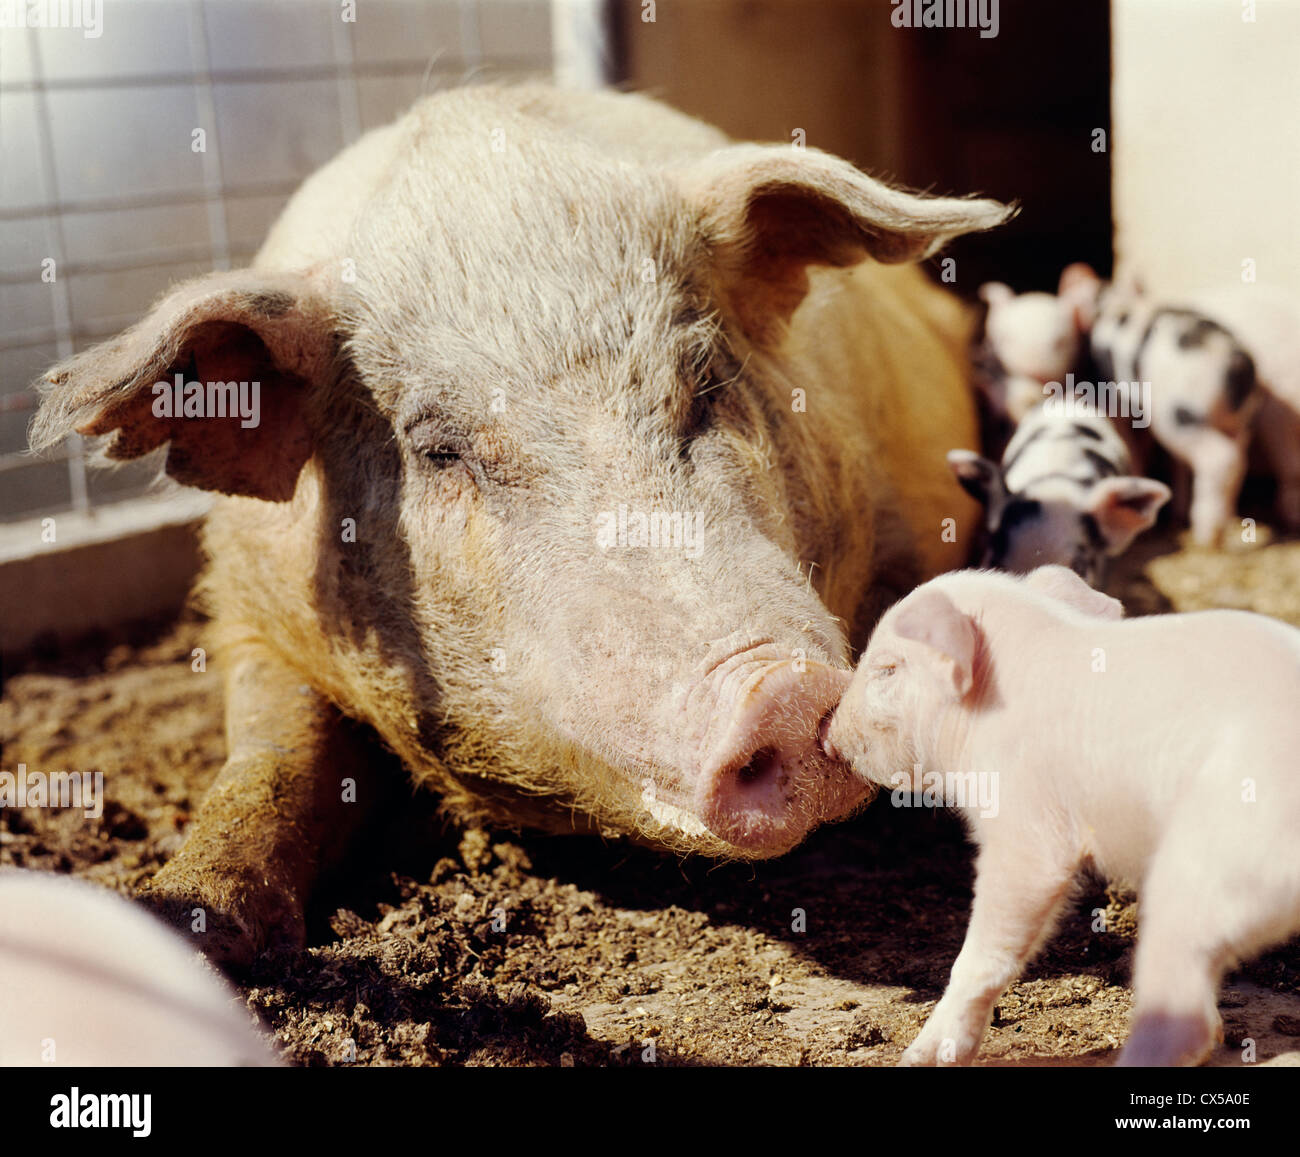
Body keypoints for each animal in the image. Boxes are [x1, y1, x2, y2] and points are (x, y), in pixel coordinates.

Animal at [28, 85, 1013, 965]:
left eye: (704, 384)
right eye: (437, 447)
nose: (783, 687)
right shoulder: (249, 612)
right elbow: (272, 755)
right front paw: (193, 927)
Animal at [824, 565, 1300, 1067]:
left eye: (887, 669)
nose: (826, 733)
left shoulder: (1026, 821)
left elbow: (986, 947)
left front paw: (919, 1058)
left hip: (1210, 864)